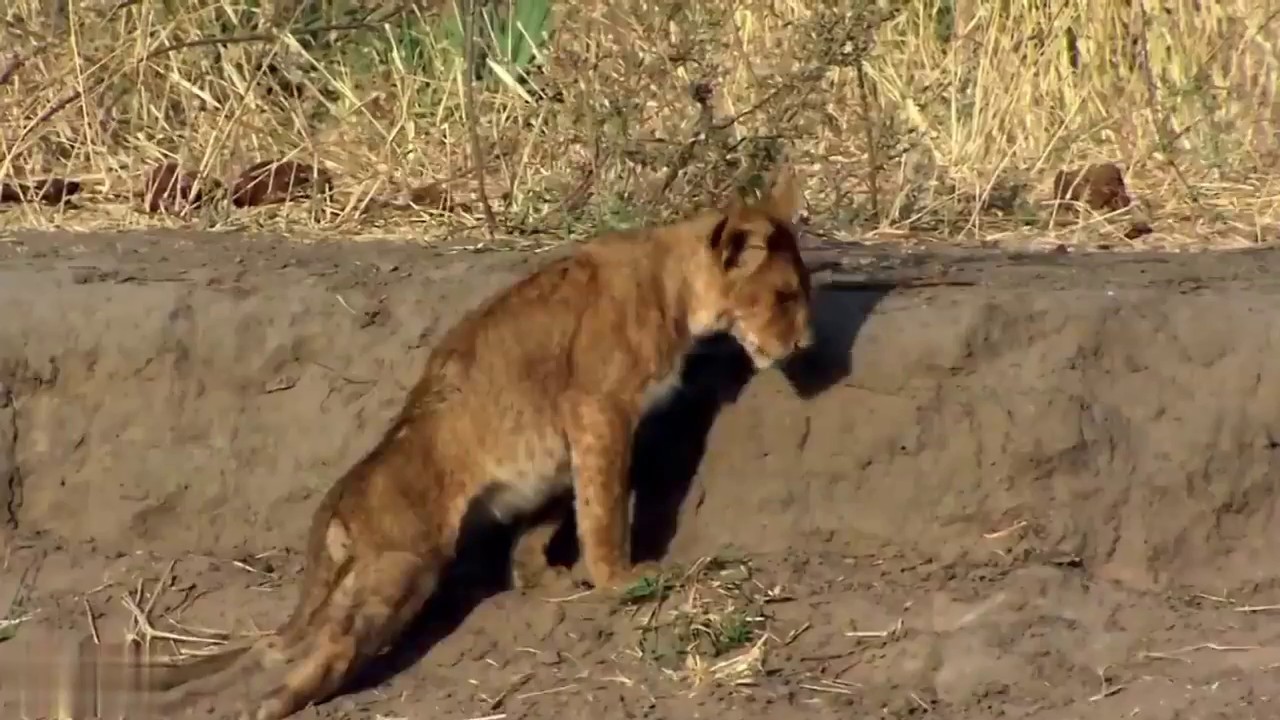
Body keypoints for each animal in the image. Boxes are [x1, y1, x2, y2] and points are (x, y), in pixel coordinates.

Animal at [113, 162, 816, 720]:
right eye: (784, 296)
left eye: (803, 293)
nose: (807, 344)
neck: (675, 286)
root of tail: (342, 493)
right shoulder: (599, 410)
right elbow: (604, 508)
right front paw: (620, 579)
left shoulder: (557, 444)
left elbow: (549, 516)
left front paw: (543, 579)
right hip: (400, 568)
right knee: (333, 648)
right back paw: (275, 706)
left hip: (363, 573)